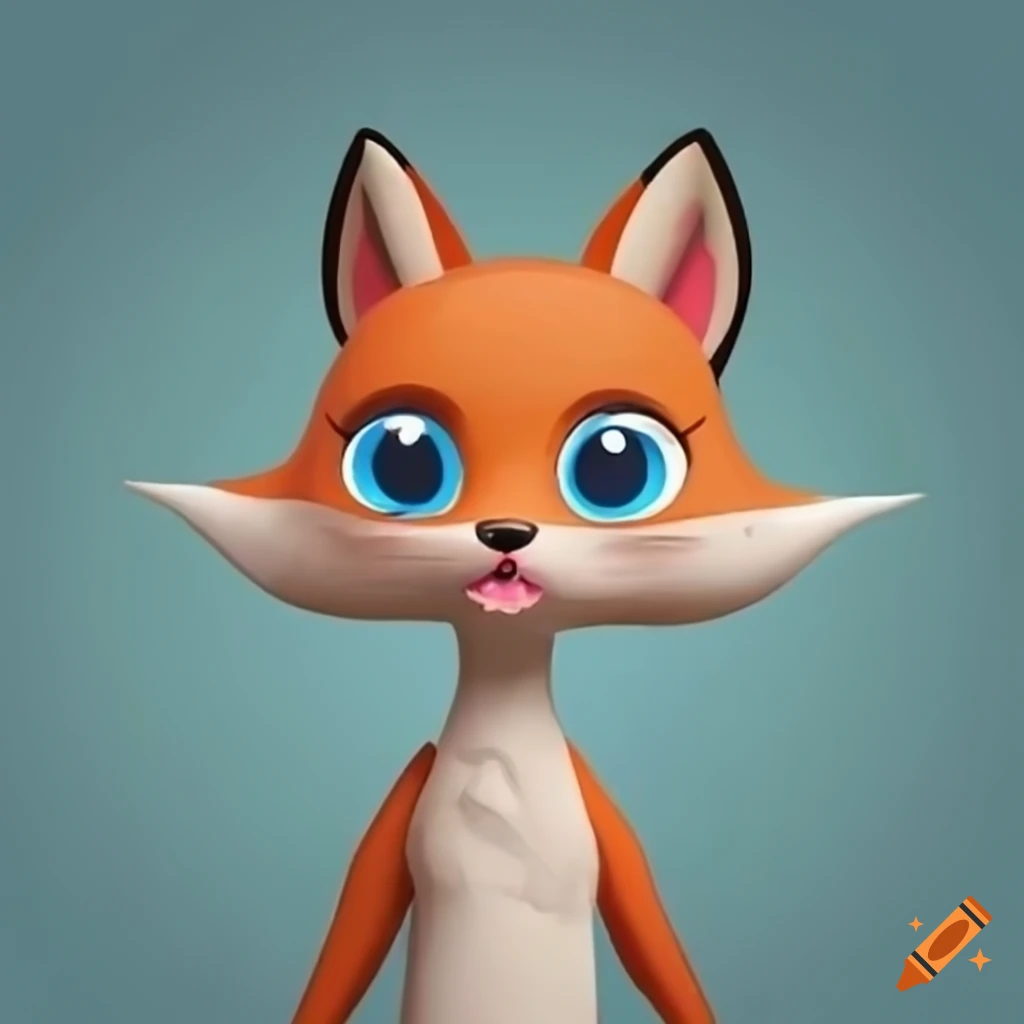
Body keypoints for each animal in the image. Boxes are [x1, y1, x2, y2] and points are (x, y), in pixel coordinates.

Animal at [128, 126, 920, 1024]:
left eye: (617, 466)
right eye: (403, 462)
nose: (505, 532)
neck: (504, 721)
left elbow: (649, 930)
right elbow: (355, 925)